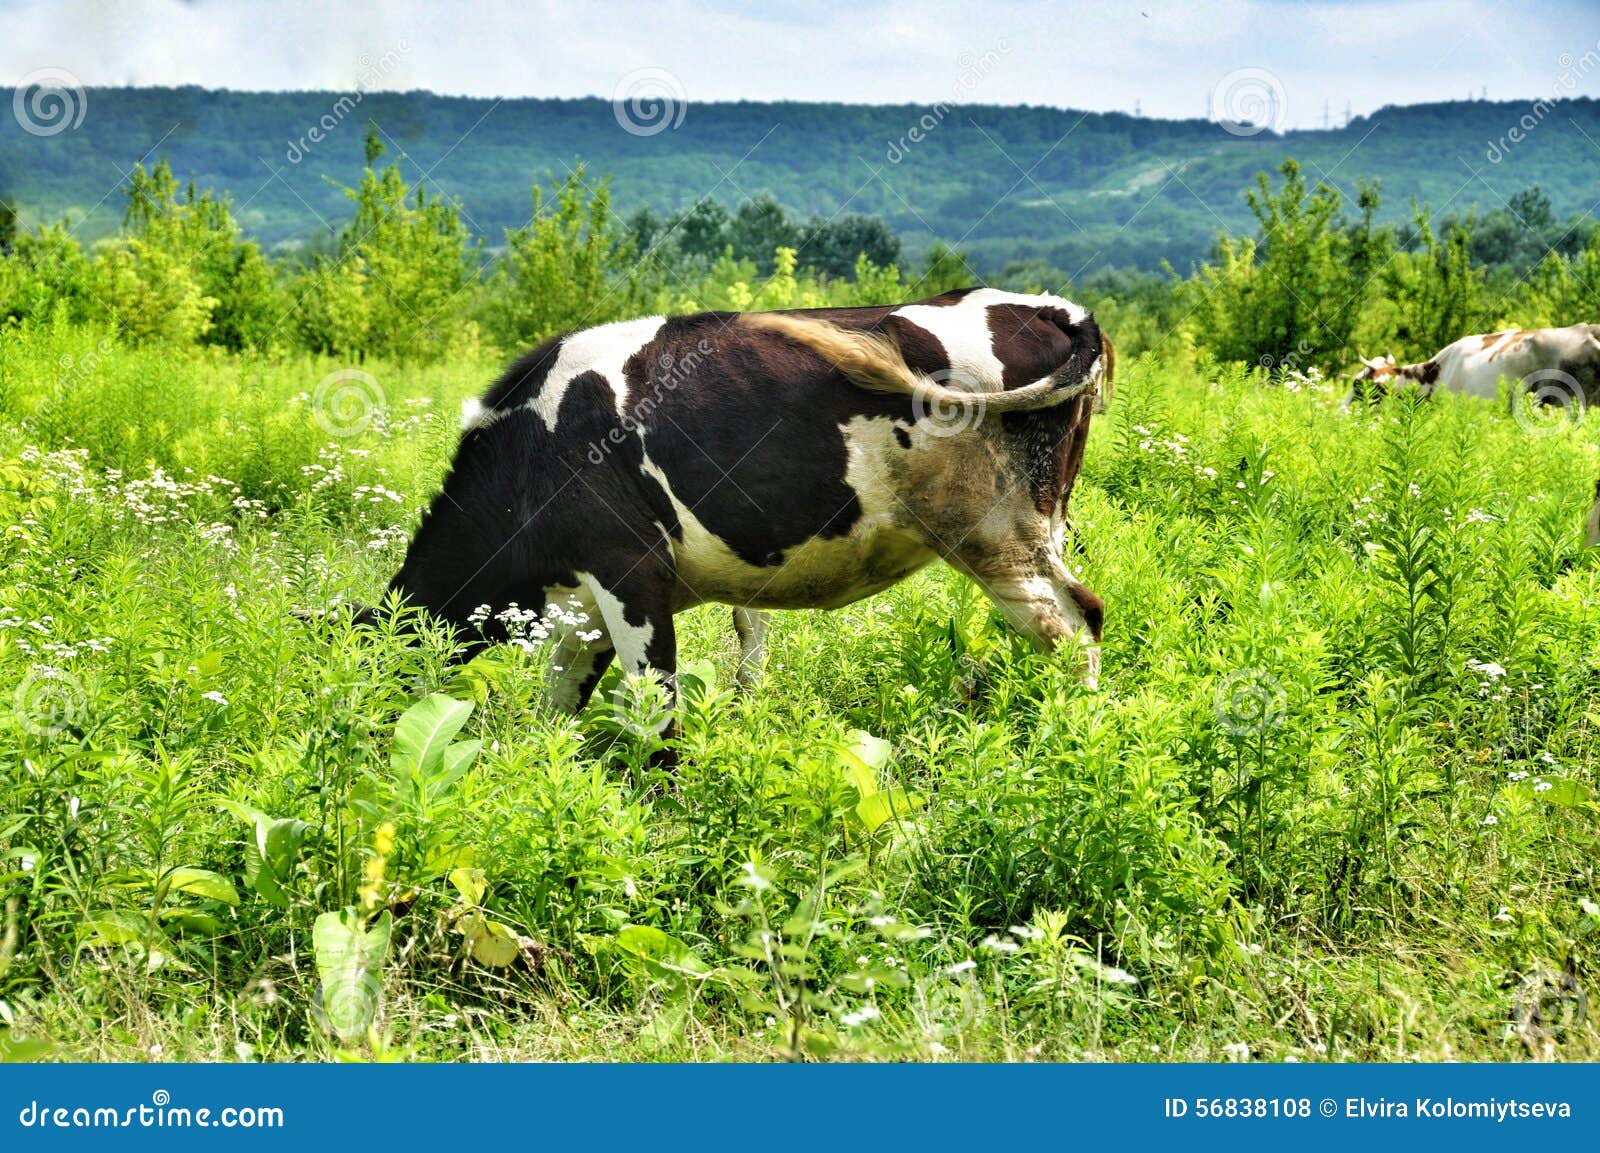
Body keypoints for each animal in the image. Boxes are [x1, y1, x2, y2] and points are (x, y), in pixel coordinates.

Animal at [368, 288, 1113, 728]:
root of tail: (1052, 308)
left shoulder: (630, 572)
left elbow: (656, 714)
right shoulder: (584, 606)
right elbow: (560, 709)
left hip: (997, 535)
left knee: (1074, 625)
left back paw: (1070, 739)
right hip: (1041, 526)